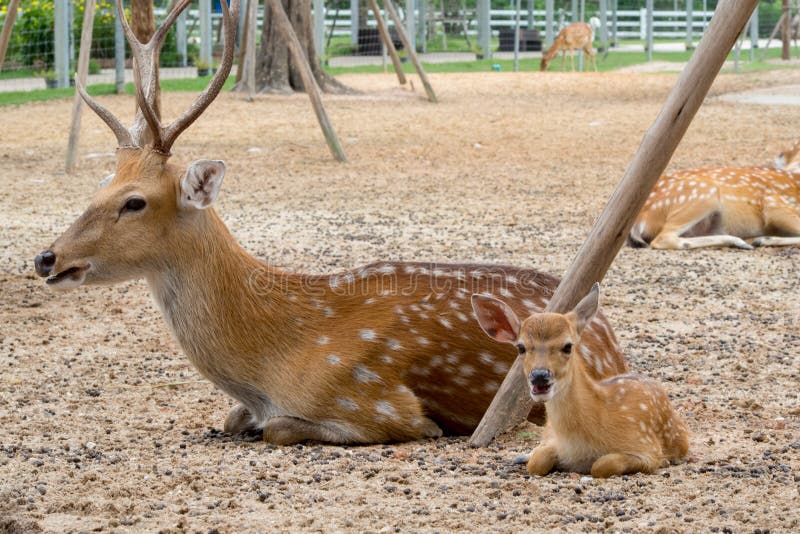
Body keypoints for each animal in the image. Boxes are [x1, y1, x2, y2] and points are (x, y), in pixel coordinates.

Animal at [33, 1, 629, 446]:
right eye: (100, 182)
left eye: (134, 201)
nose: (46, 256)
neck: (270, 362)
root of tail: (607, 331)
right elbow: (231, 417)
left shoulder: (376, 400)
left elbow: (280, 428)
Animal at [472, 284, 689, 478]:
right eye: (521, 347)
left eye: (568, 346)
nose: (539, 376)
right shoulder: (552, 440)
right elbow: (537, 462)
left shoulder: (645, 445)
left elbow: (601, 465)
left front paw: (664, 461)